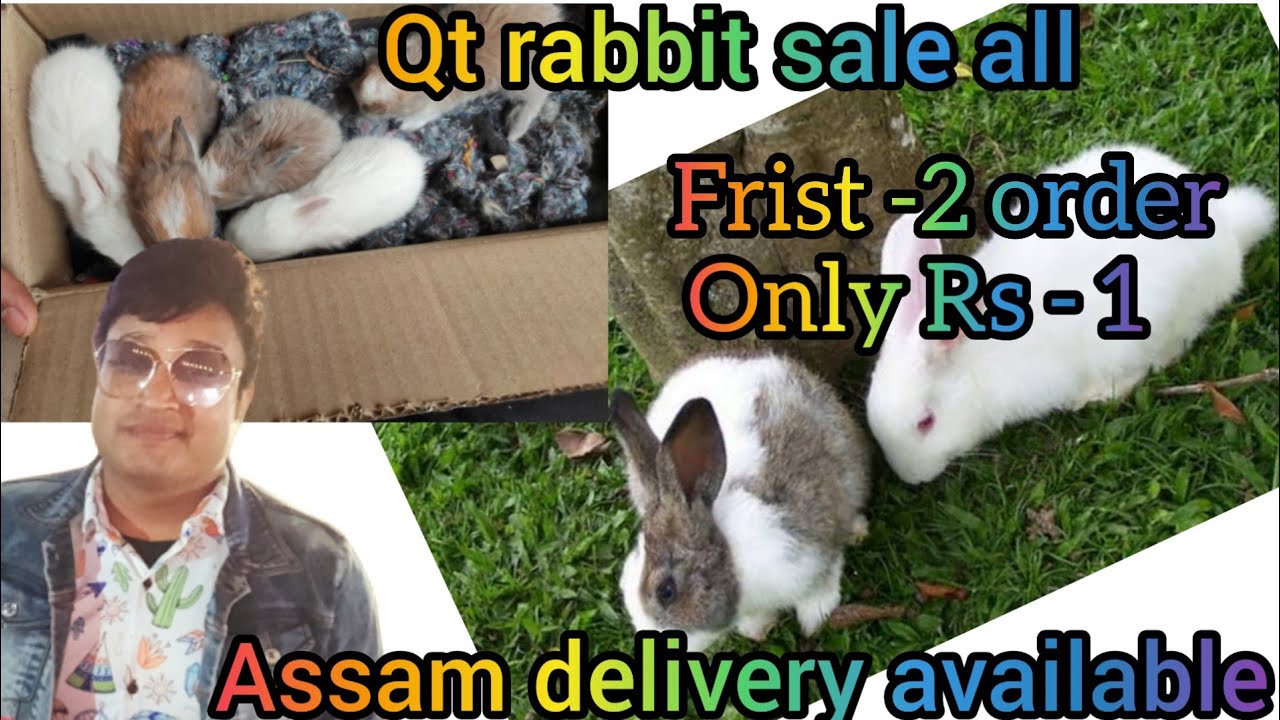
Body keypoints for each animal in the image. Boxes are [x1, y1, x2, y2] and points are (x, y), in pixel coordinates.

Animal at [351, 3, 562, 143]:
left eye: (369, 108)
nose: (360, 112)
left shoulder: (437, 104)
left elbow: (424, 115)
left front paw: (405, 124)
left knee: (536, 99)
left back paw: (514, 129)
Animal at [612, 350, 872, 652]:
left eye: (666, 591)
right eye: (623, 582)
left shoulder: (819, 535)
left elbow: (825, 576)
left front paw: (816, 615)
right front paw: (757, 628)